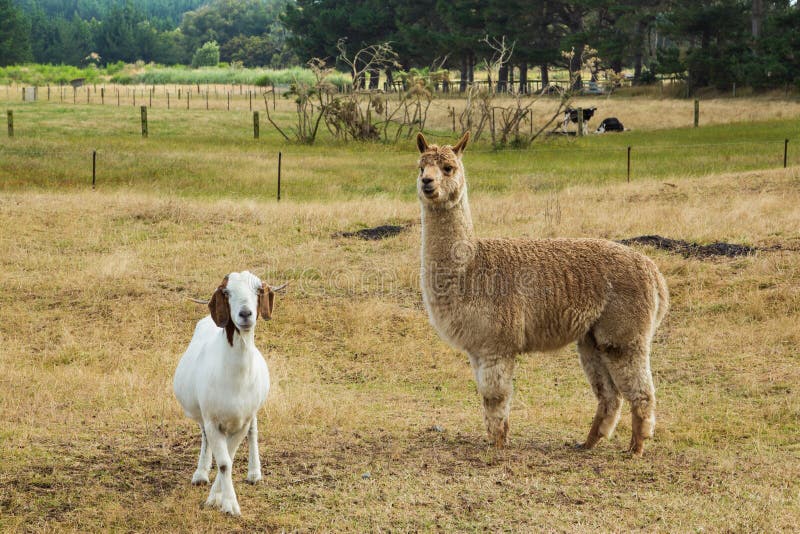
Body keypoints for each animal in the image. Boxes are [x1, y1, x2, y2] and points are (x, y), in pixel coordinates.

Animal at [173, 271, 286, 516]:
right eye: (227, 292)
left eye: (258, 290)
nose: (245, 314)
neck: (235, 379)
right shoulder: (212, 421)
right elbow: (224, 462)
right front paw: (228, 504)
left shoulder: (242, 421)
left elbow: (230, 458)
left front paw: (218, 499)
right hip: (203, 416)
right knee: (205, 439)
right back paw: (200, 474)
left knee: (254, 432)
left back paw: (254, 473)